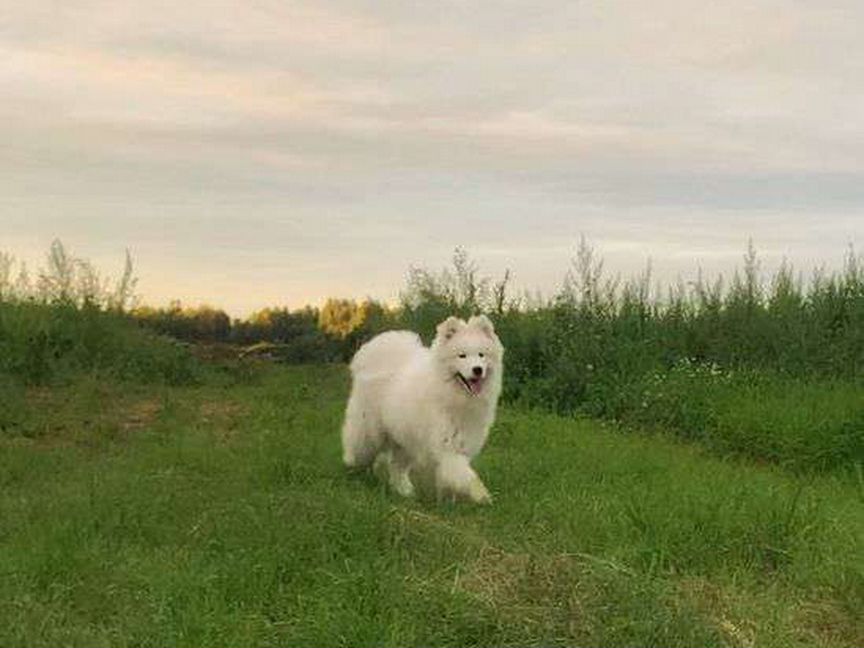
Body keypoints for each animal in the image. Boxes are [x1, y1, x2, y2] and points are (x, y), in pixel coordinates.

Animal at [344, 316, 502, 504]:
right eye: (462, 356)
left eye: (481, 355)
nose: (477, 369)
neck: (454, 397)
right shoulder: (447, 447)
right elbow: (468, 476)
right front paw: (483, 496)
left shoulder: (462, 443)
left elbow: (453, 477)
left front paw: (448, 500)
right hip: (370, 431)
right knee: (358, 448)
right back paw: (353, 468)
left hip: (405, 441)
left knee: (396, 467)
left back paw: (404, 491)